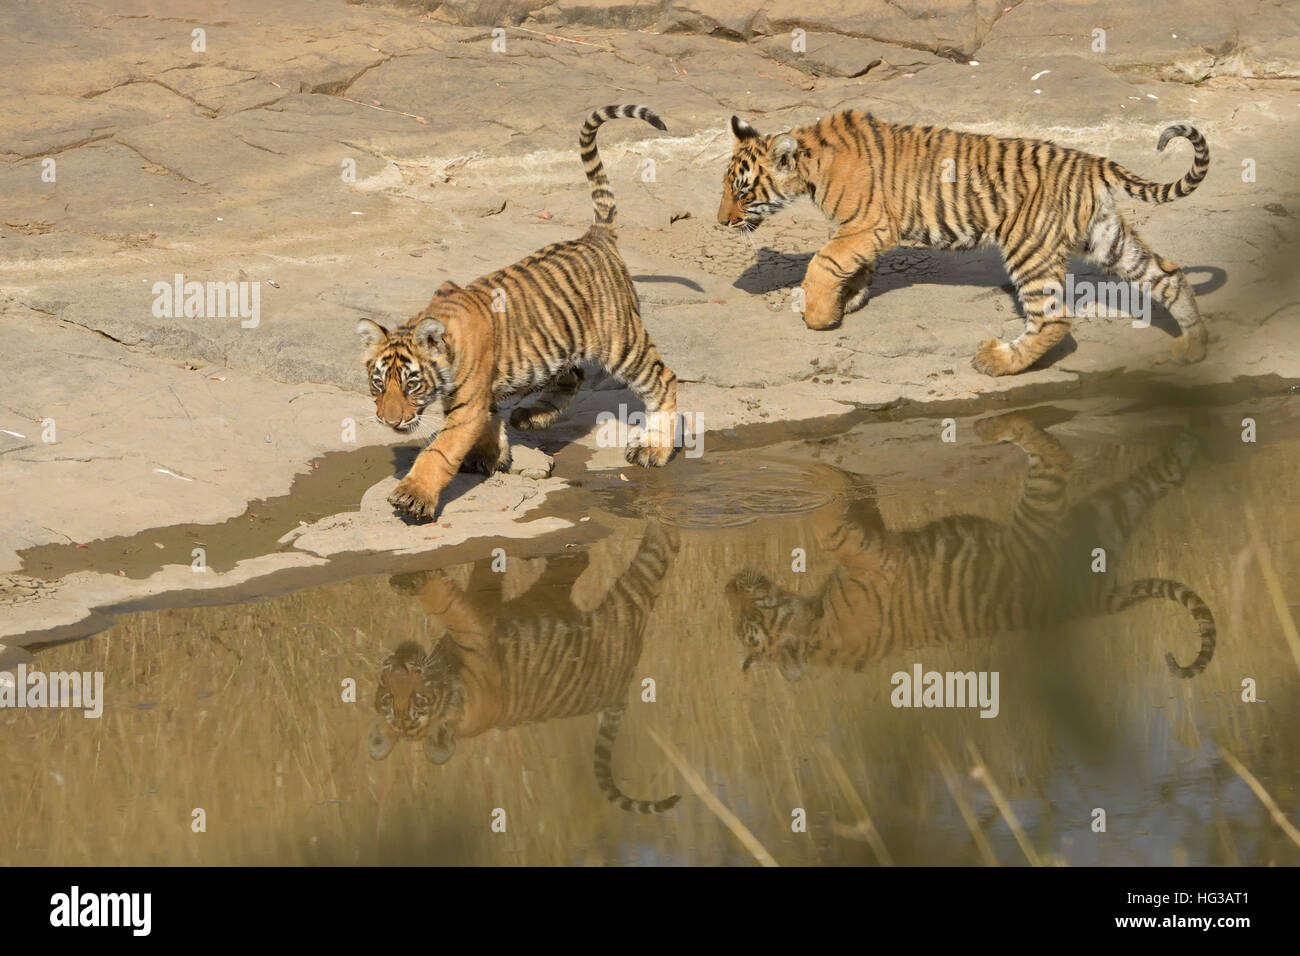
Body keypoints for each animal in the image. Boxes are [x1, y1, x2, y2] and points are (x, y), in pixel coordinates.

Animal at [358, 105, 680, 521]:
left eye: (412, 385)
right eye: (378, 383)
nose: (389, 421)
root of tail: (594, 236)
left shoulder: (466, 405)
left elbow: (439, 451)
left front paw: (413, 496)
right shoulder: (480, 399)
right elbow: (490, 419)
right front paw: (490, 454)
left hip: (620, 342)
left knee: (663, 380)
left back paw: (653, 448)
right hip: (561, 342)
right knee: (572, 376)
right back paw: (531, 416)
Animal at [368, 521, 682, 814]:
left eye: (417, 700)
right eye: (390, 699)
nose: (395, 669)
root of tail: (615, 696)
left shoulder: (476, 626)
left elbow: (455, 594)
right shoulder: (476, 629)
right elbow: (448, 599)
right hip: (619, 604)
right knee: (630, 552)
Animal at [717, 110, 1210, 376]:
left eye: (742, 192)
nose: (721, 221)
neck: (810, 163)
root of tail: (1091, 161)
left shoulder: (867, 225)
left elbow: (823, 262)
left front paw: (819, 315)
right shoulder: (862, 232)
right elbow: (854, 267)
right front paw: (847, 301)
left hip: (1029, 246)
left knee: (1053, 318)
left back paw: (997, 362)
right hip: (1105, 238)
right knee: (1167, 275)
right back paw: (1193, 346)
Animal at [725, 411, 1216, 681]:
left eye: (747, 623)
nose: (728, 585)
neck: (816, 628)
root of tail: (1090, 599)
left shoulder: (866, 547)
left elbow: (834, 515)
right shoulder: (865, 549)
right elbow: (830, 516)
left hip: (1078, 511)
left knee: (1112, 465)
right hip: (1072, 512)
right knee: (1078, 462)